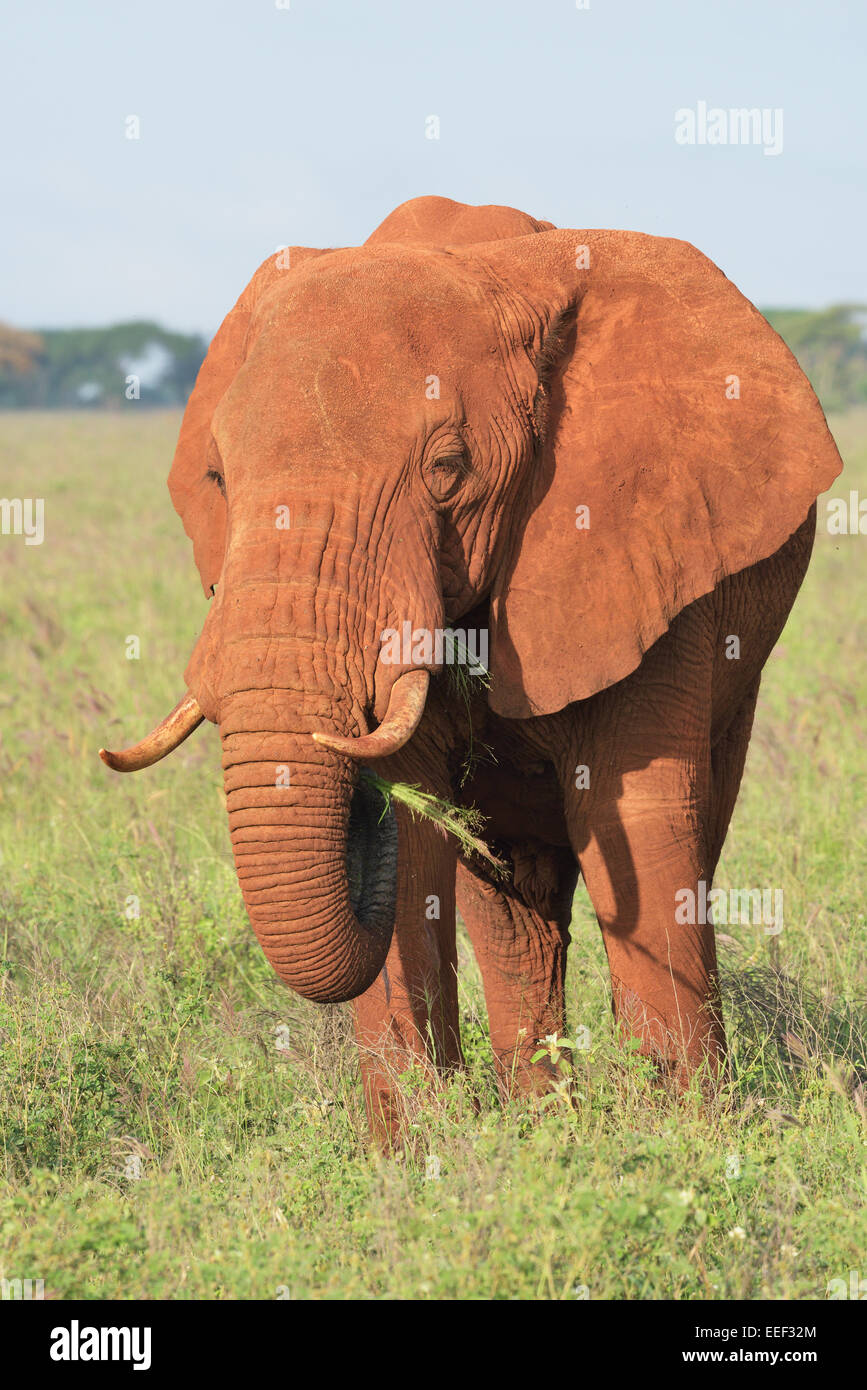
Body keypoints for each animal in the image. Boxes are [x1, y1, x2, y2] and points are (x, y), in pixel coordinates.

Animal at [100, 195, 842, 1143]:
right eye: (219, 479)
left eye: (448, 471)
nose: (358, 795)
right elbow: (421, 850)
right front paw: (419, 1157)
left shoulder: (652, 547)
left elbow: (632, 814)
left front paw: (681, 1142)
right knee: (512, 898)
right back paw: (541, 1119)